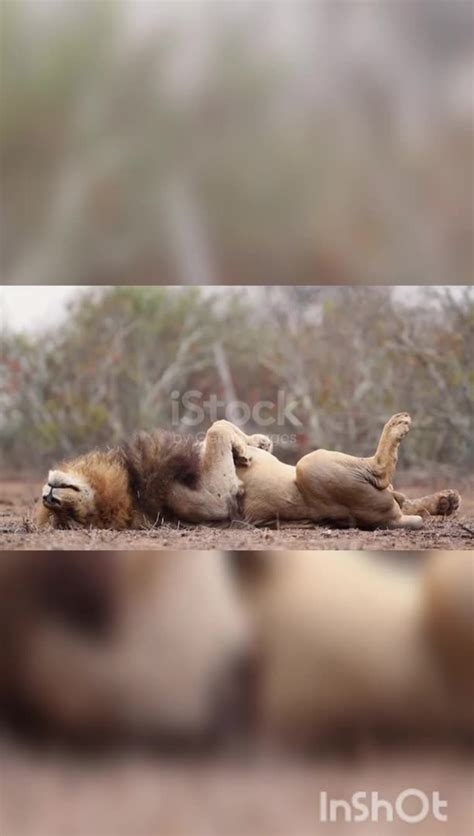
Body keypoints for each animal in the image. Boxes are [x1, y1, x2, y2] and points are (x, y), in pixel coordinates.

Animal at [37, 413, 460, 531]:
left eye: (54, 507)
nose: (48, 495)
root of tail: (389, 518)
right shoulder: (215, 498)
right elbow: (217, 427)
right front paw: (244, 448)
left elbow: (220, 427)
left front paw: (258, 443)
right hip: (315, 465)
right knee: (383, 474)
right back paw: (397, 427)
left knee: (406, 498)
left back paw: (446, 500)